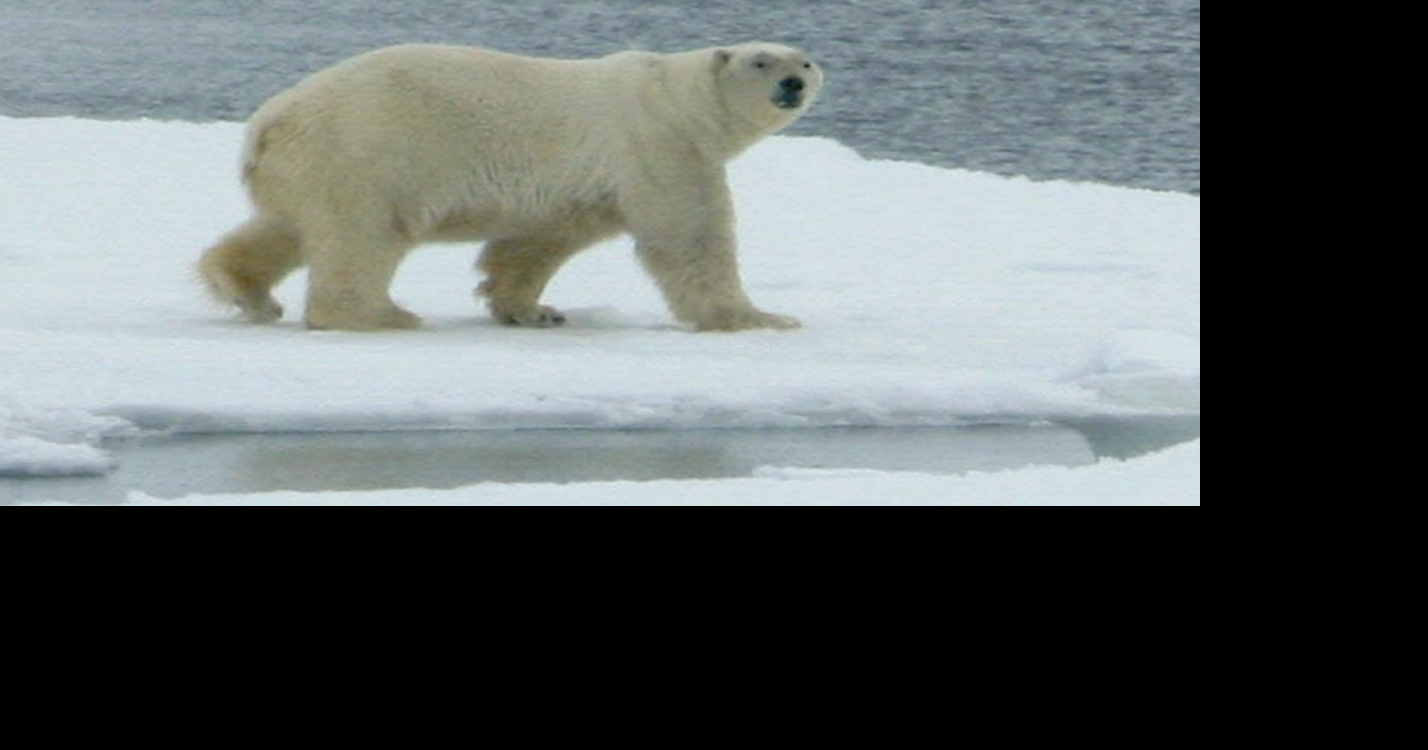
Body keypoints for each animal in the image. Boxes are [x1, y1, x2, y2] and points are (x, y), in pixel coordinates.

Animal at [198, 42, 824, 332]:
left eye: (805, 61)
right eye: (760, 61)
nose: (793, 83)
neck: (676, 97)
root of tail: (269, 120)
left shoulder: (585, 179)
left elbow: (541, 239)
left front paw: (533, 309)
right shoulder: (659, 146)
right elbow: (690, 237)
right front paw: (762, 317)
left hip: (307, 164)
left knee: (285, 226)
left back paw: (246, 291)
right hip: (368, 153)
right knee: (363, 235)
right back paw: (382, 315)